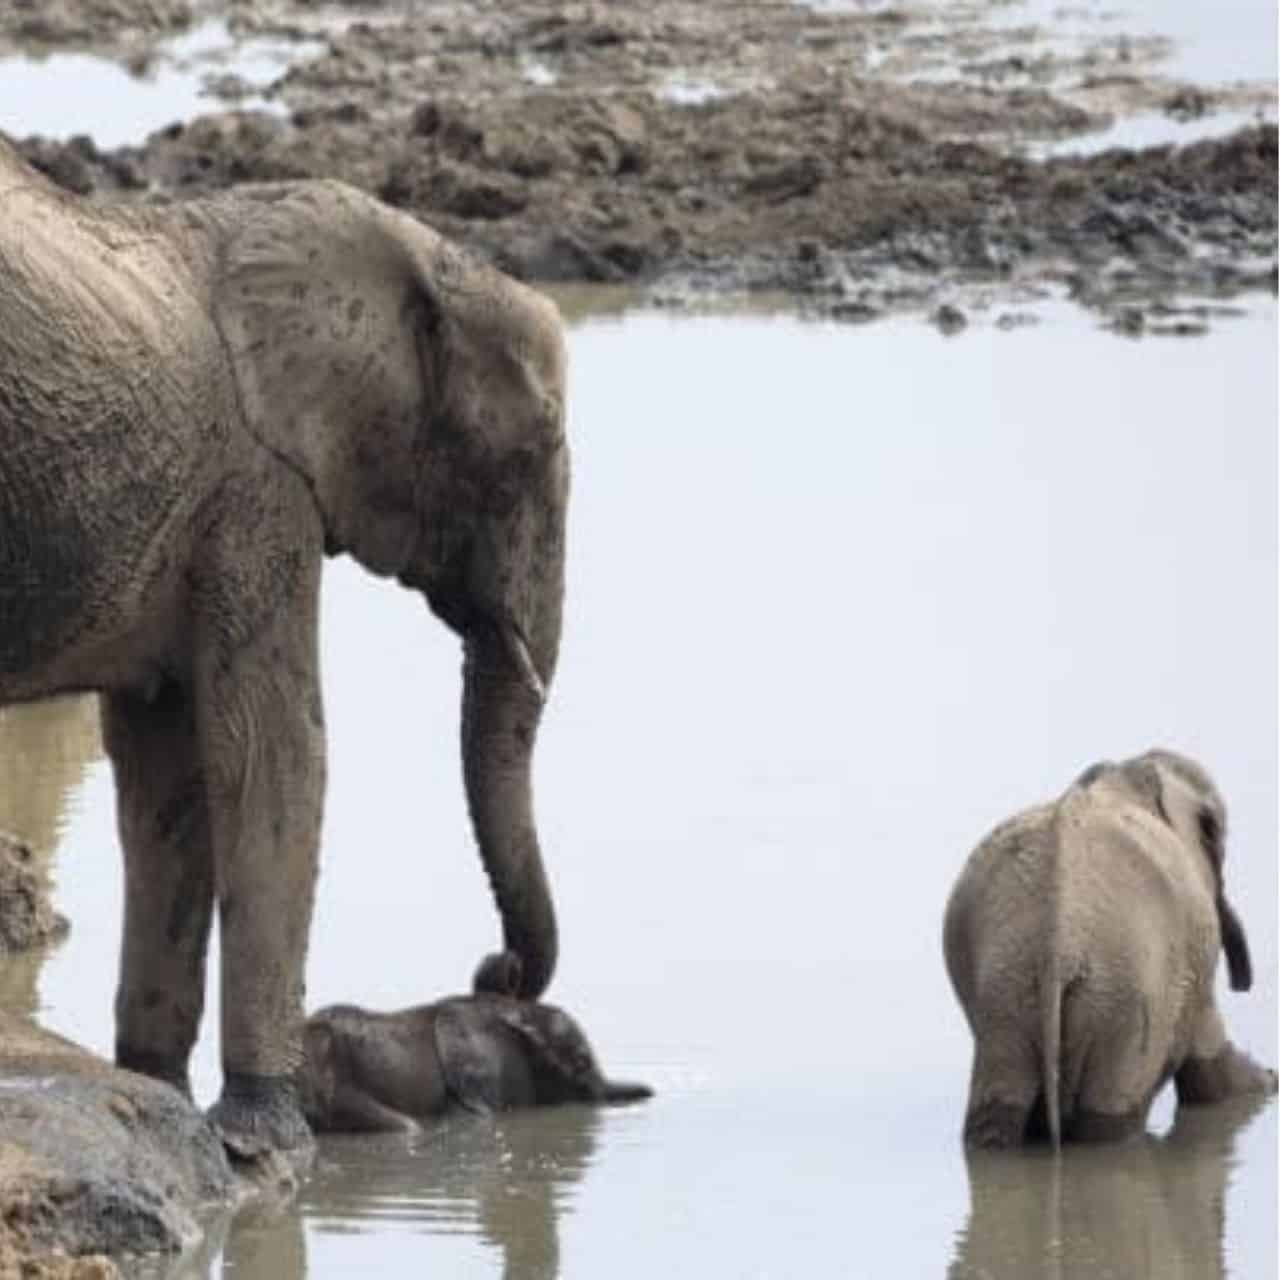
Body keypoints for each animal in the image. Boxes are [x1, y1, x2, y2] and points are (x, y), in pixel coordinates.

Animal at [0, 136, 569, 1159]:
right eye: (530, 452)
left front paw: (158, 1088)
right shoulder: (260, 490)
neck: (415, 252)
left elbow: (172, 770)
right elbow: (276, 753)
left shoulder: (205, 511)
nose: (496, 968)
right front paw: (264, 1141)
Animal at [943, 749, 1276, 1148]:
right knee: (1109, 1117)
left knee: (996, 1110)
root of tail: (1058, 937)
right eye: (1213, 833)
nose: (1243, 983)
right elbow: (1212, 1077)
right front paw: (1270, 1080)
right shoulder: (1196, 958)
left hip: (1008, 988)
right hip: (1124, 998)